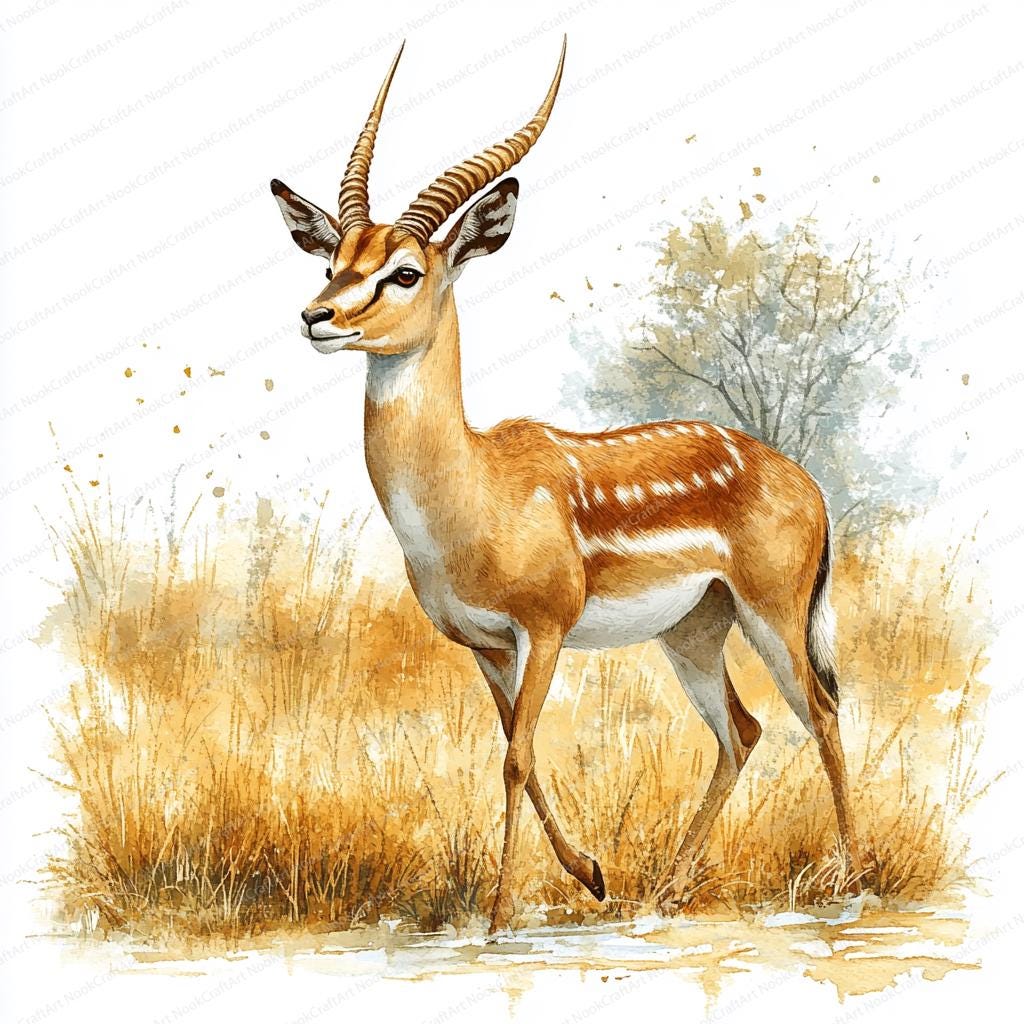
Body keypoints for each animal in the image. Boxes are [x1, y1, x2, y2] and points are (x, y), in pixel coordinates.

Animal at [270, 38, 861, 932]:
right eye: (335, 260)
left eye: (404, 272)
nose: (317, 317)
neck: (472, 491)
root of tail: (806, 483)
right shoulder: (484, 644)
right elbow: (518, 748)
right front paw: (592, 876)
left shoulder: (543, 628)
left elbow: (517, 757)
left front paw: (497, 917)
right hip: (693, 632)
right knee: (744, 729)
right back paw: (665, 890)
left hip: (774, 614)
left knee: (819, 713)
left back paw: (857, 879)